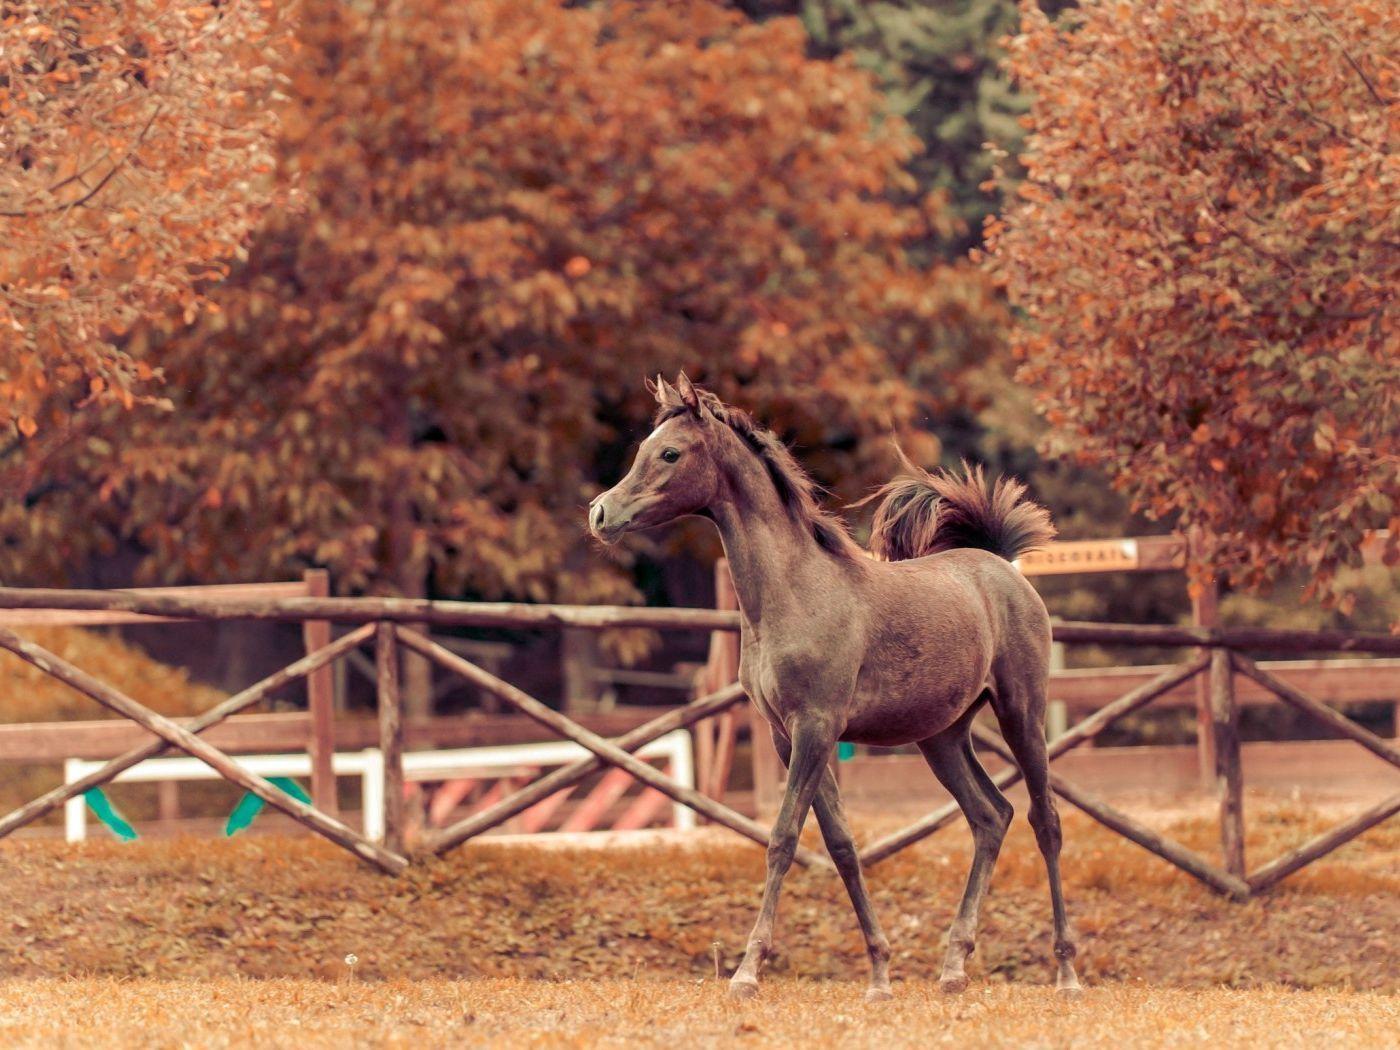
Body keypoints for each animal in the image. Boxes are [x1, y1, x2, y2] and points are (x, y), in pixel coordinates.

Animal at [588, 373, 1079, 1003]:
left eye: (669, 453)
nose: (601, 513)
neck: (794, 594)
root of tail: (1001, 566)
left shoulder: (815, 727)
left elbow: (783, 838)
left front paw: (748, 973)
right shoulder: (788, 735)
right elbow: (841, 844)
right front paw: (879, 976)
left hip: (1022, 713)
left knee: (1046, 821)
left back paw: (1066, 973)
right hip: (942, 737)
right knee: (991, 816)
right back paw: (953, 967)